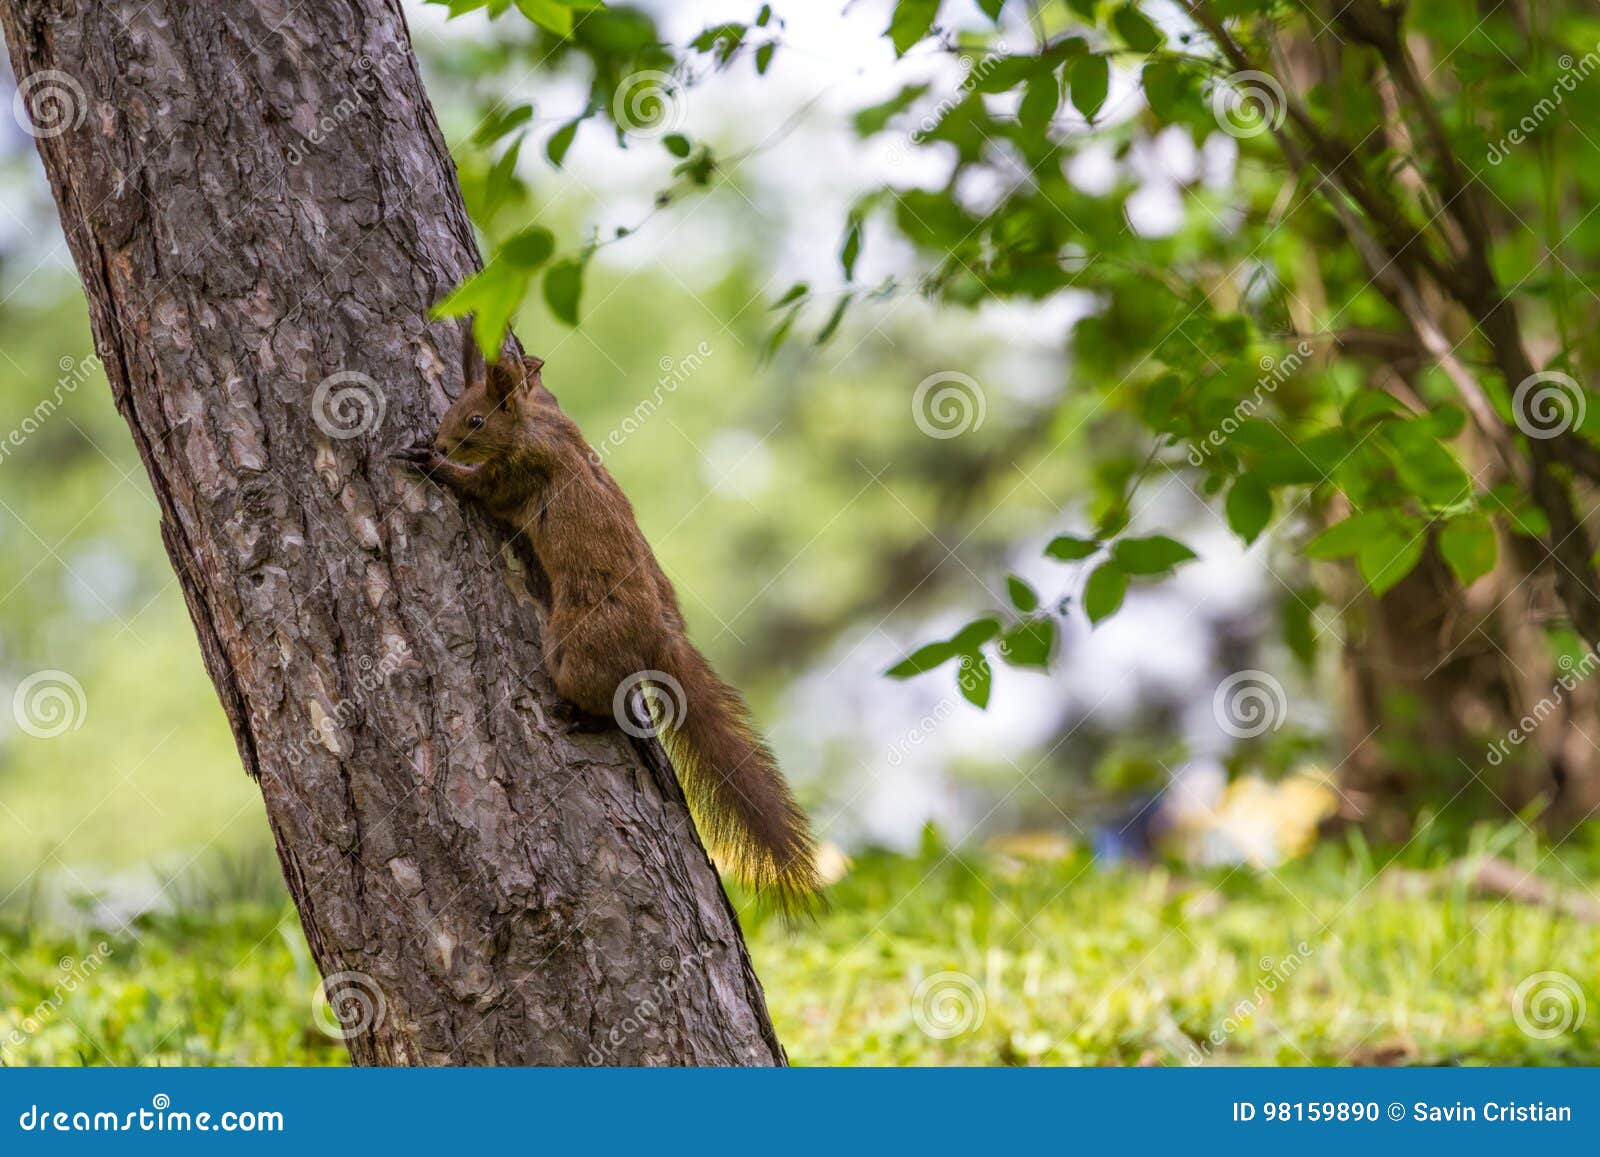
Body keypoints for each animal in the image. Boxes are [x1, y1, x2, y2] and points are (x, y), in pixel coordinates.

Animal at [392, 333, 821, 912]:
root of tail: (662, 641)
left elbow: (481, 490)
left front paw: (433, 465)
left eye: (475, 421)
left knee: (608, 704)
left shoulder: (516, 476)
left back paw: (582, 717)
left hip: (574, 647)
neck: (531, 428)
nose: (442, 442)